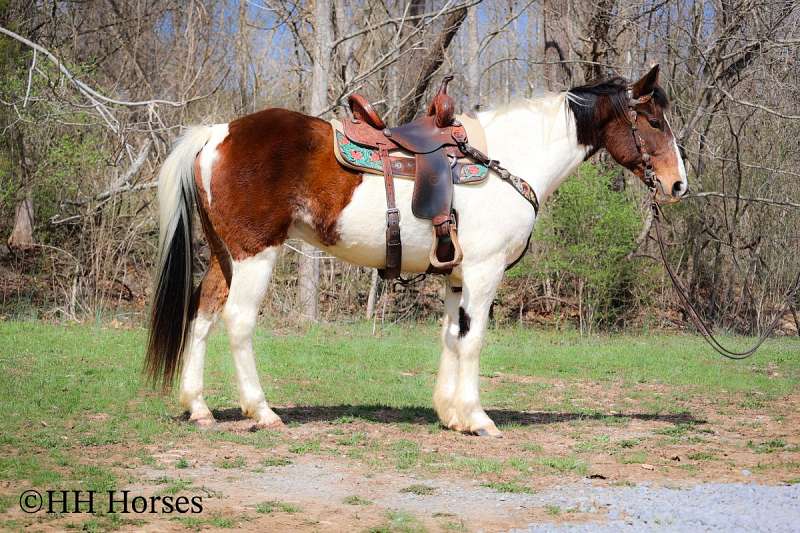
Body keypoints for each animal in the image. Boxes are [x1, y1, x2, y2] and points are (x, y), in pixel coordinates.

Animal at [146, 65, 687, 438]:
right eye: (653, 121)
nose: (678, 185)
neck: (507, 159)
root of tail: (218, 132)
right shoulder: (485, 272)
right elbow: (473, 340)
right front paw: (478, 418)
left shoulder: (456, 276)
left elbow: (452, 337)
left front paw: (451, 414)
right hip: (255, 255)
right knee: (238, 322)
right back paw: (262, 411)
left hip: (225, 256)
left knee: (202, 316)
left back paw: (198, 407)